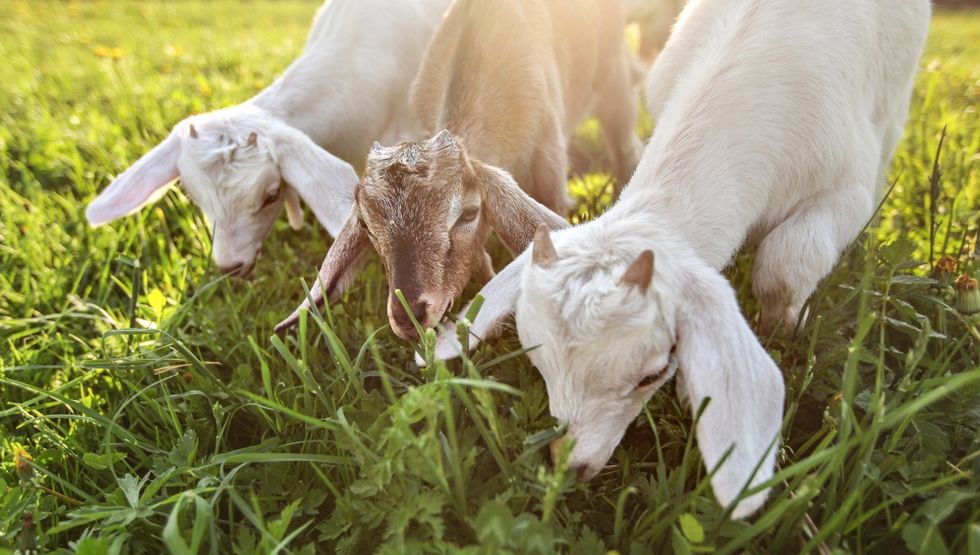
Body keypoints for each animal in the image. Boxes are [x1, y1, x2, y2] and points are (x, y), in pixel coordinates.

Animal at [428, 0, 931, 518]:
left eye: (651, 373)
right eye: (536, 359)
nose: (571, 466)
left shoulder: (849, 187)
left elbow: (784, 266)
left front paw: (786, 330)